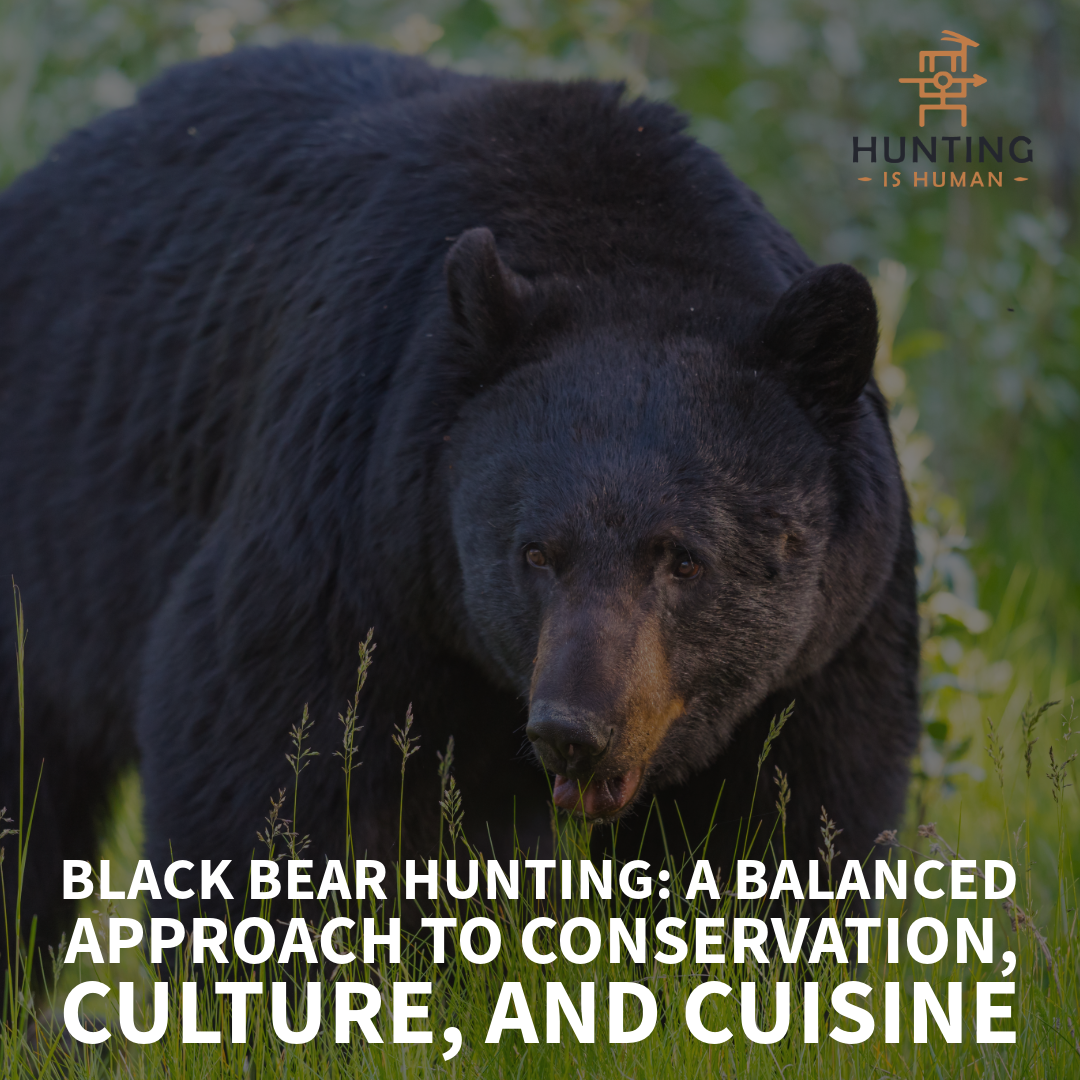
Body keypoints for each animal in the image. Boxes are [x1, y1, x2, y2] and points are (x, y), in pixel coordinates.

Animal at [0, 42, 919, 955]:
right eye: (536, 552)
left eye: (686, 560)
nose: (573, 731)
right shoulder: (352, 526)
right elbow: (258, 765)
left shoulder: (832, 641)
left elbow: (788, 823)